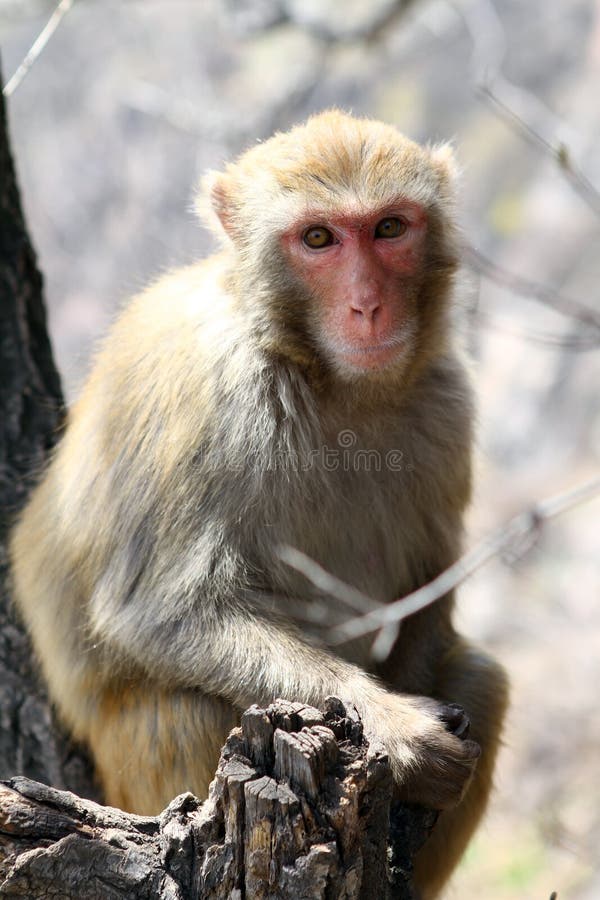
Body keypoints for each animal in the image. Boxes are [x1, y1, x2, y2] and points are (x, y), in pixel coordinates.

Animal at [9, 110, 508, 898]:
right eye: (318, 239)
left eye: (390, 227)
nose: (368, 307)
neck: (324, 375)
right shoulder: (218, 400)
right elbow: (160, 613)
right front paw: (400, 734)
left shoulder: (447, 399)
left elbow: (427, 604)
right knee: (180, 710)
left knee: (483, 675)